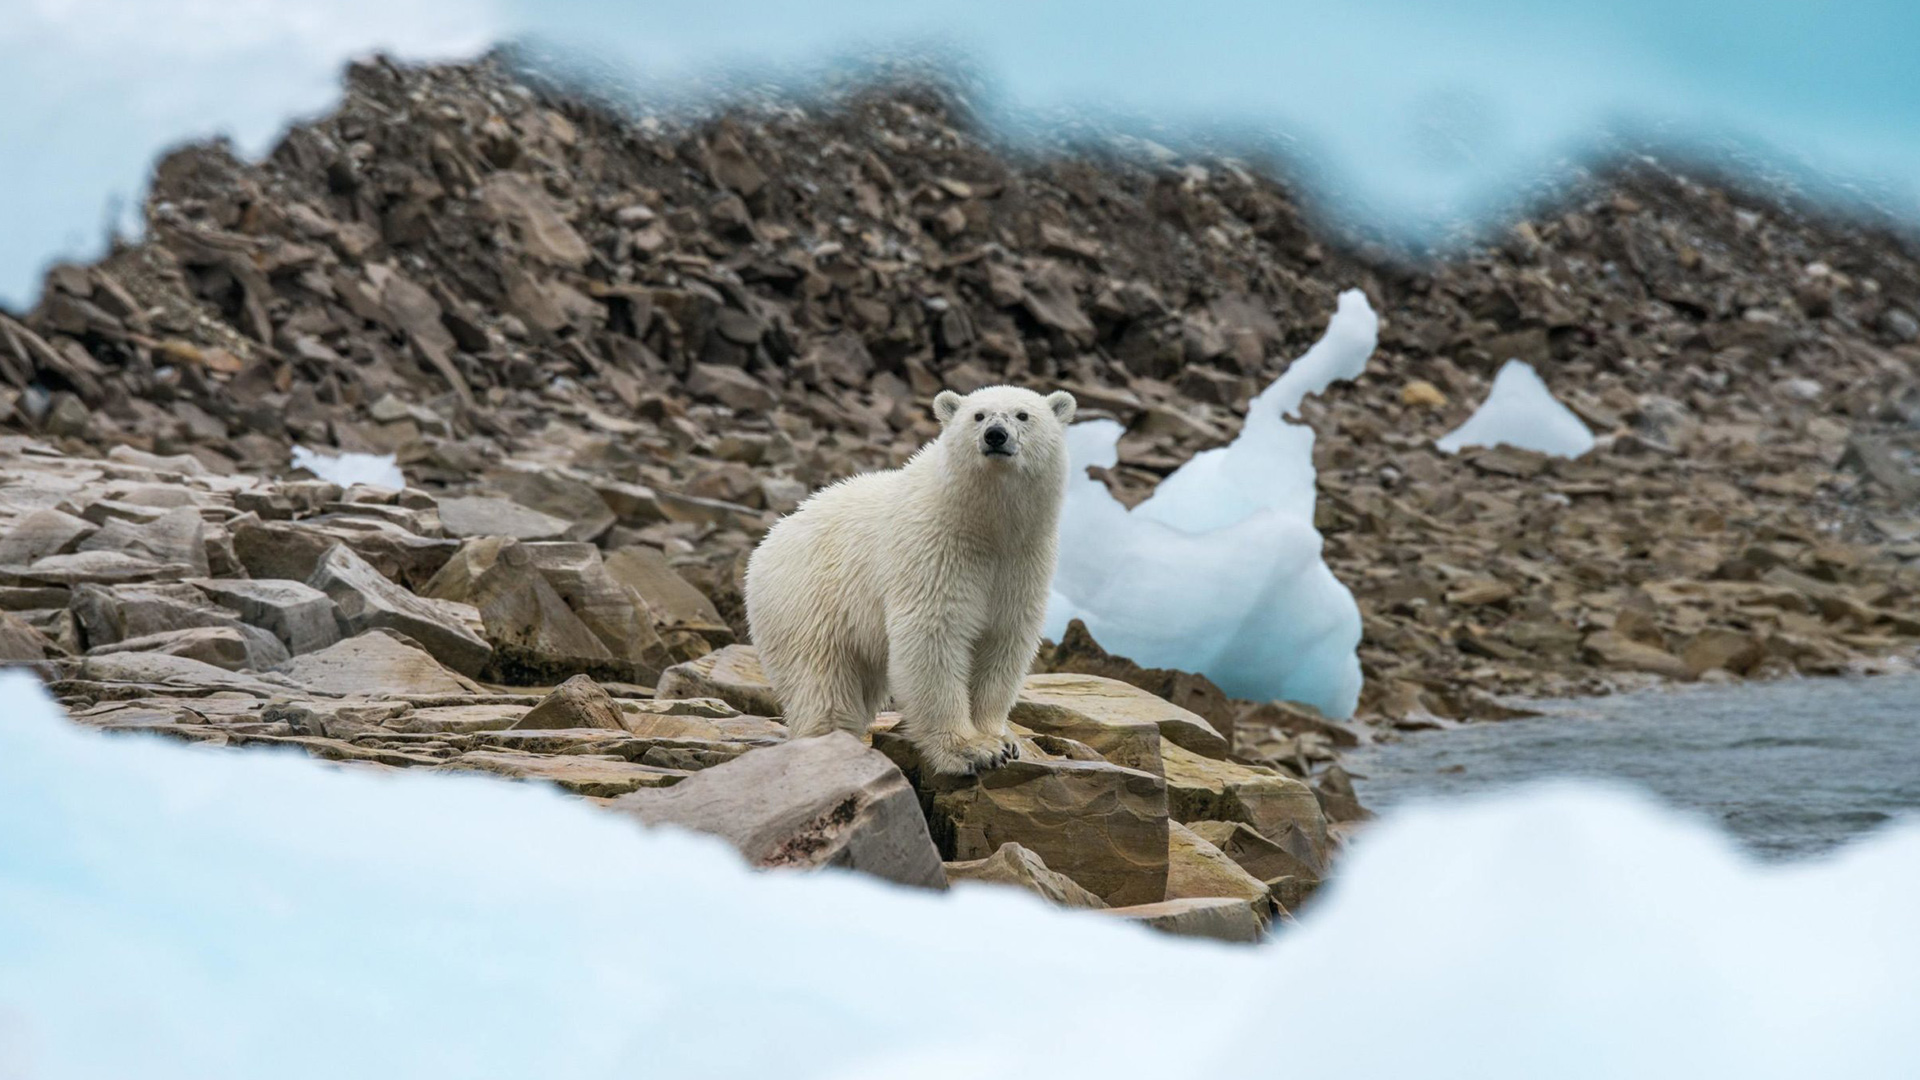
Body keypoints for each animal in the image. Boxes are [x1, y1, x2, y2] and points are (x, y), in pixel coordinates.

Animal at [745, 385, 1077, 775]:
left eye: (1023, 415)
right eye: (978, 415)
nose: (995, 435)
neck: (984, 525)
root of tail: (766, 542)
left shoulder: (1022, 562)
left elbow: (1003, 641)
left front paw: (1001, 739)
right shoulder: (934, 552)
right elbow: (933, 636)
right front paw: (971, 750)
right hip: (807, 601)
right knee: (822, 678)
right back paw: (831, 743)